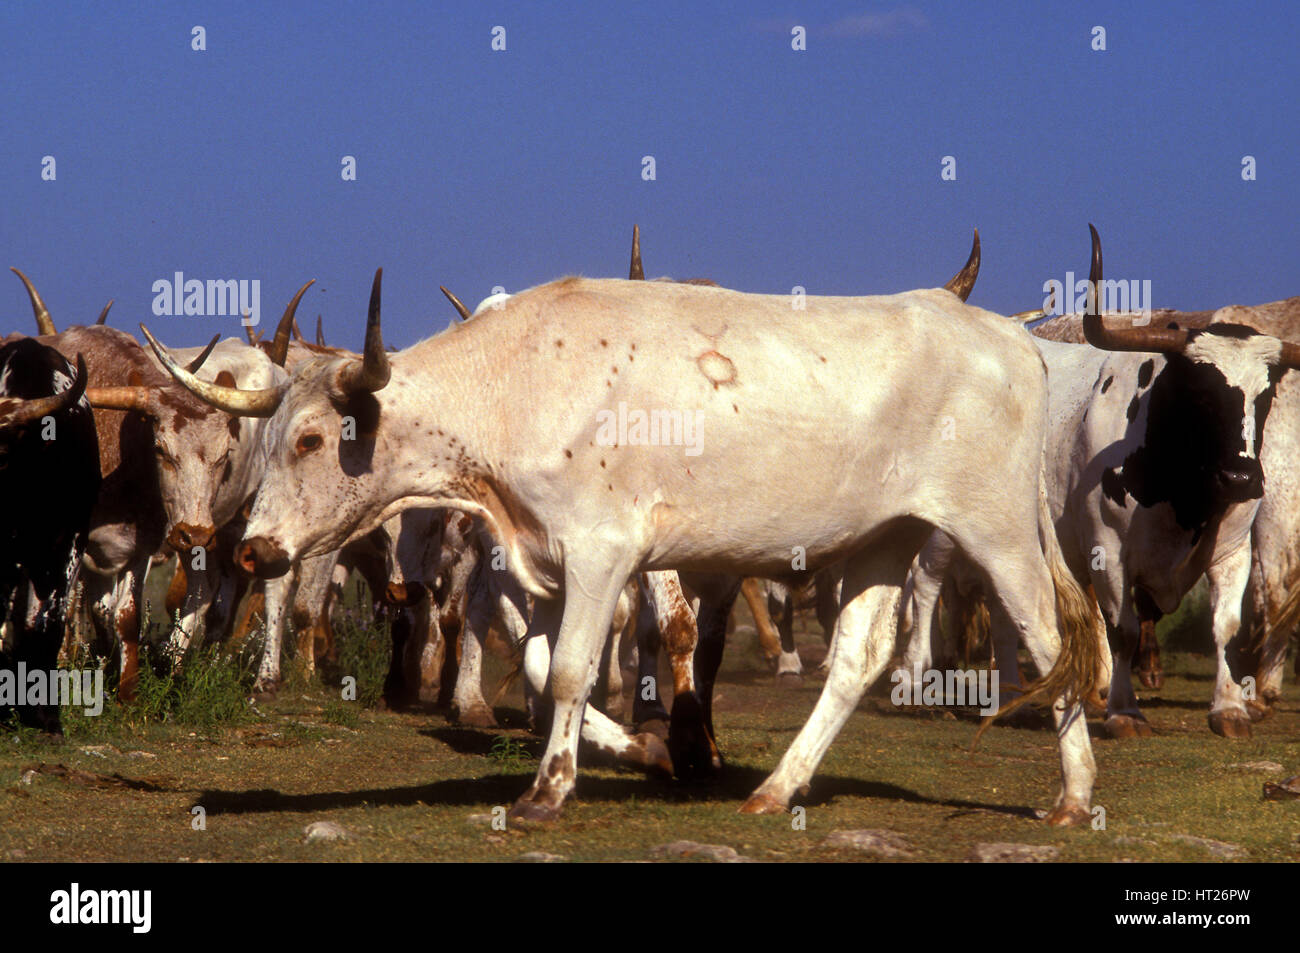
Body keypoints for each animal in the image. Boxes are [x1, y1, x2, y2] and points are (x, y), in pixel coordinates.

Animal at [147, 250, 1105, 826]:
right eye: (272, 439)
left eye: (312, 440)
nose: (252, 548)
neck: (512, 385)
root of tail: (1004, 335)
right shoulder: (548, 562)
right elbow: (541, 668)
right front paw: (649, 750)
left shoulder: (603, 552)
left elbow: (572, 668)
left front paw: (548, 790)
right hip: (884, 535)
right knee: (859, 657)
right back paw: (775, 787)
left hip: (996, 528)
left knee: (1050, 637)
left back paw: (1074, 794)